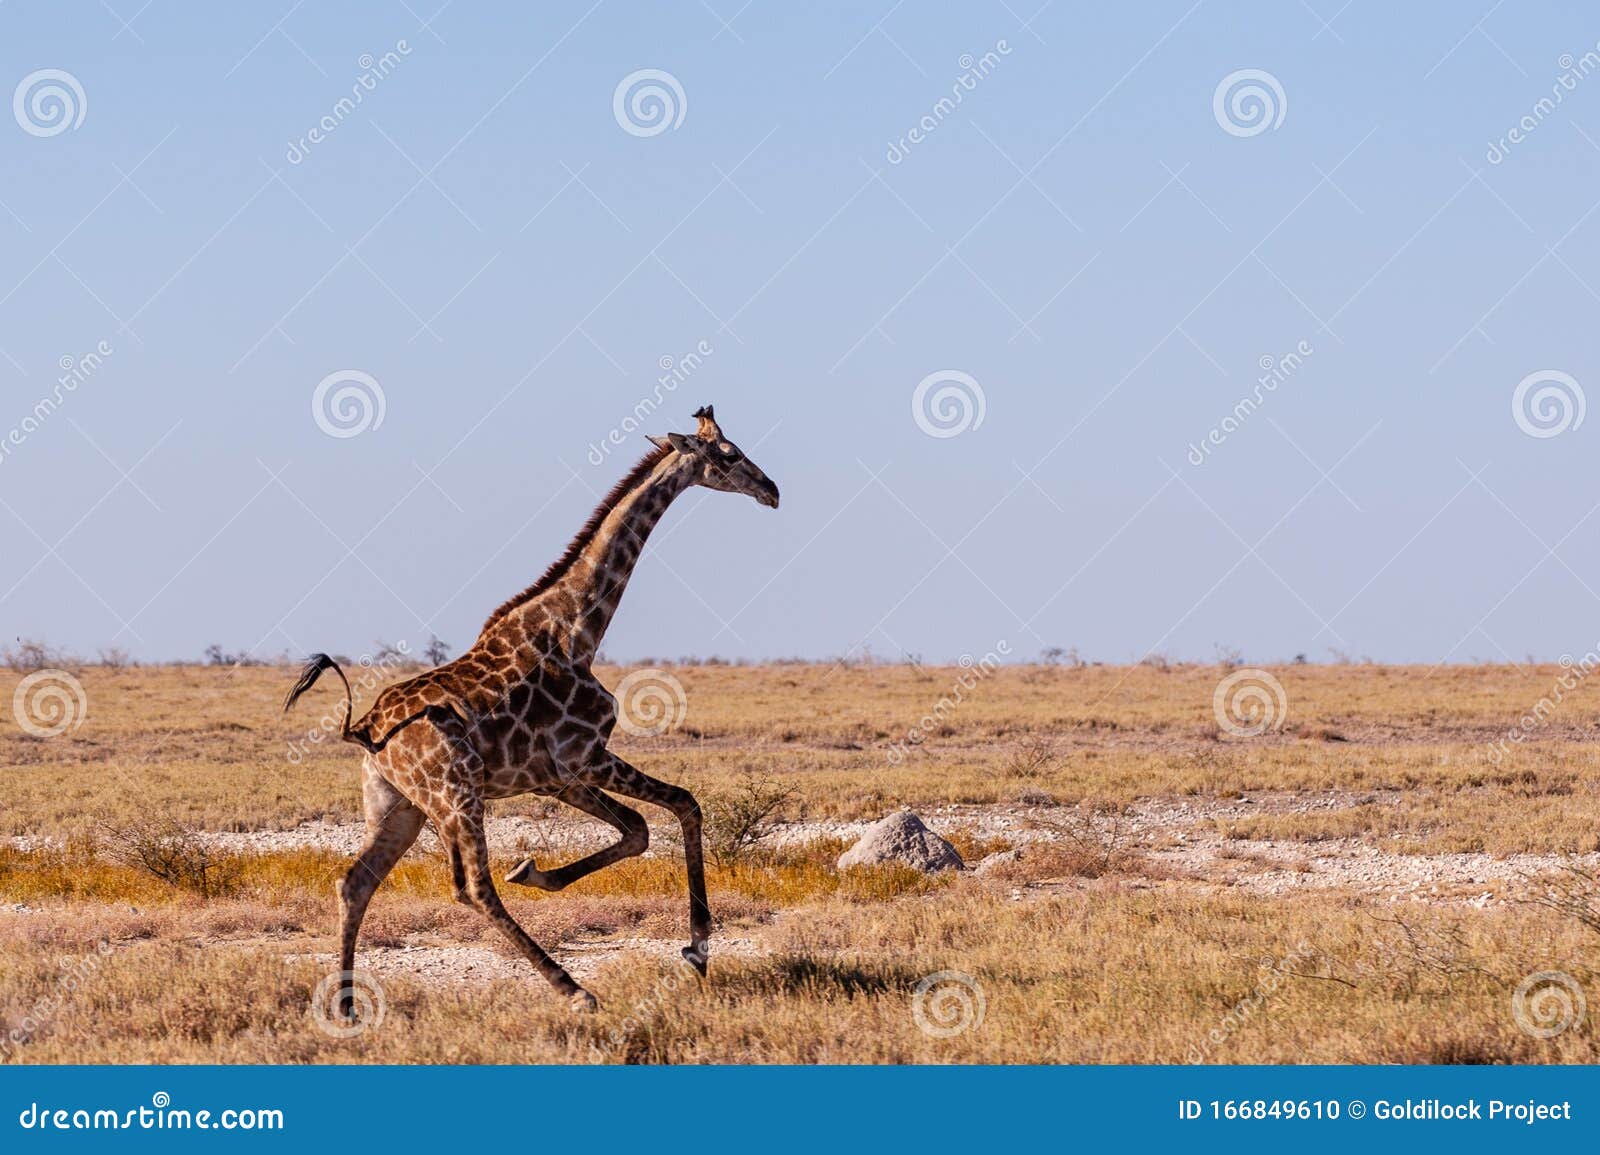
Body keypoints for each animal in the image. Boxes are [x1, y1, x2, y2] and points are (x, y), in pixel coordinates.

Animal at [284, 405, 779, 1014]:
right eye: (730, 454)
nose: (772, 490)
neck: (575, 633)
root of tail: (368, 728)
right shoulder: (584, 758)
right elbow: (682, 805)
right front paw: (697, 950)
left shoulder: (556, 778)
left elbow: (640, 829)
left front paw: (536, 872)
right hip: (454, 794)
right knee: (472, 887)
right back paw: (575, 990)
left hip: (398, 804)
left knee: (355, 881)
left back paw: (348, 1005)